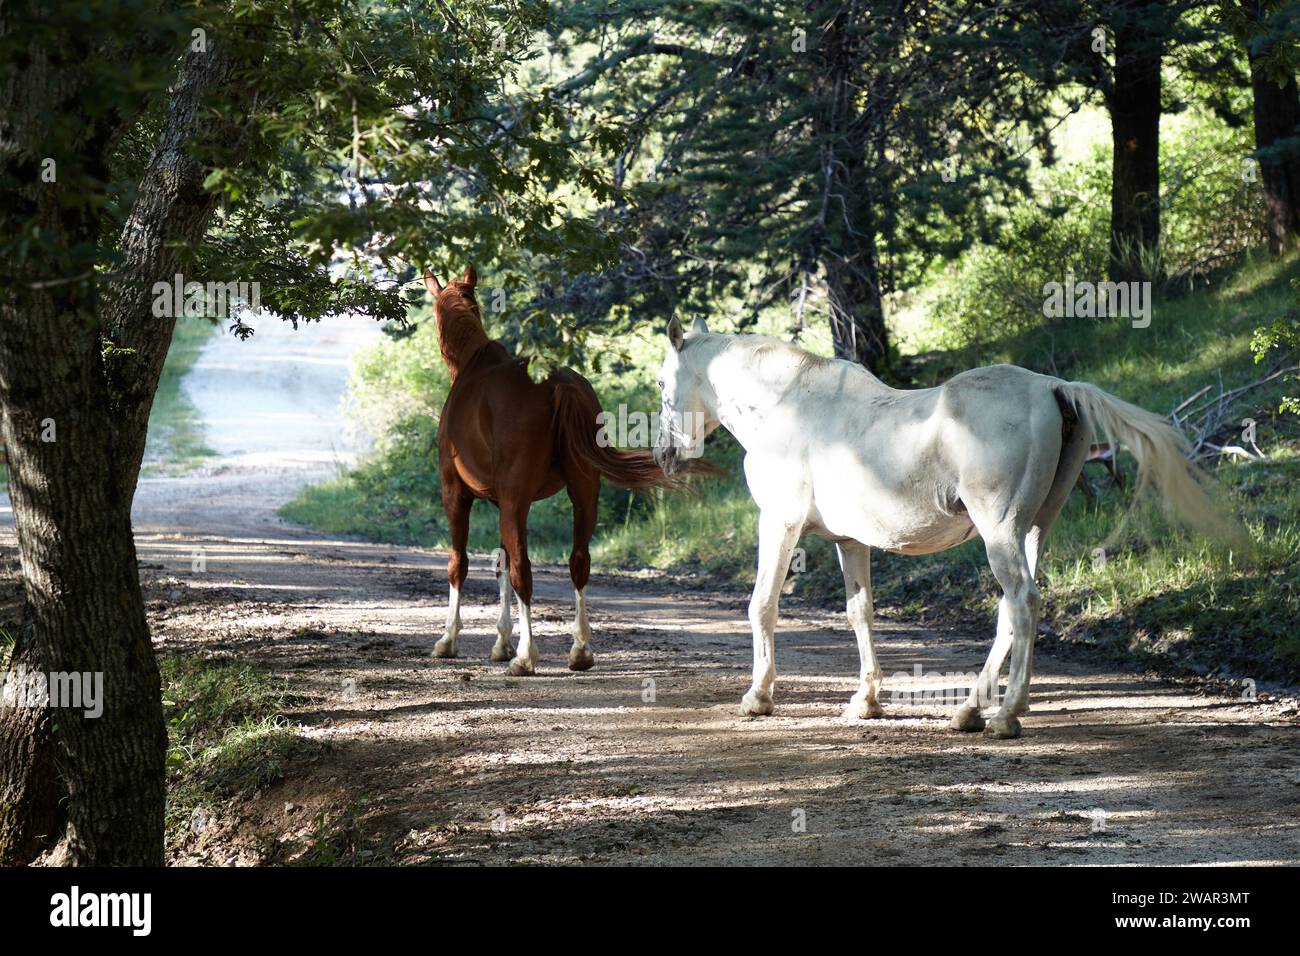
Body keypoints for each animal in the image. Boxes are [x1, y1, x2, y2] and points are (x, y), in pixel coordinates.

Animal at [423, 266, 689, 675]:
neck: (473, 365)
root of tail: (558, 384)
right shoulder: (502, 502)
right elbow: (500, 564)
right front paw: (500, 642)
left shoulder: (457, 493)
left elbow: (461, 564)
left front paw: (449, 640)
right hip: (583, 493)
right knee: (578, 562)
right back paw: (579, 651)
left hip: (515, 500)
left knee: (524, 569)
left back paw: (525, 657)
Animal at [652, 316, 1245, 738]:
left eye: (662, 385)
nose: (665, 456)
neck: (788, 405)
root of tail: (1053, 387)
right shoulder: (850, 542)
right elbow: (860, 614)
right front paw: (865, 702)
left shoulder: (779, 523)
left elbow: (762, 605)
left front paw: (758, 697)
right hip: (1032, 529)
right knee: (1013, 608)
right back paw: (971, 711)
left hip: (1000, 530)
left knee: (1022, 602)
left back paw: (1004, 717)